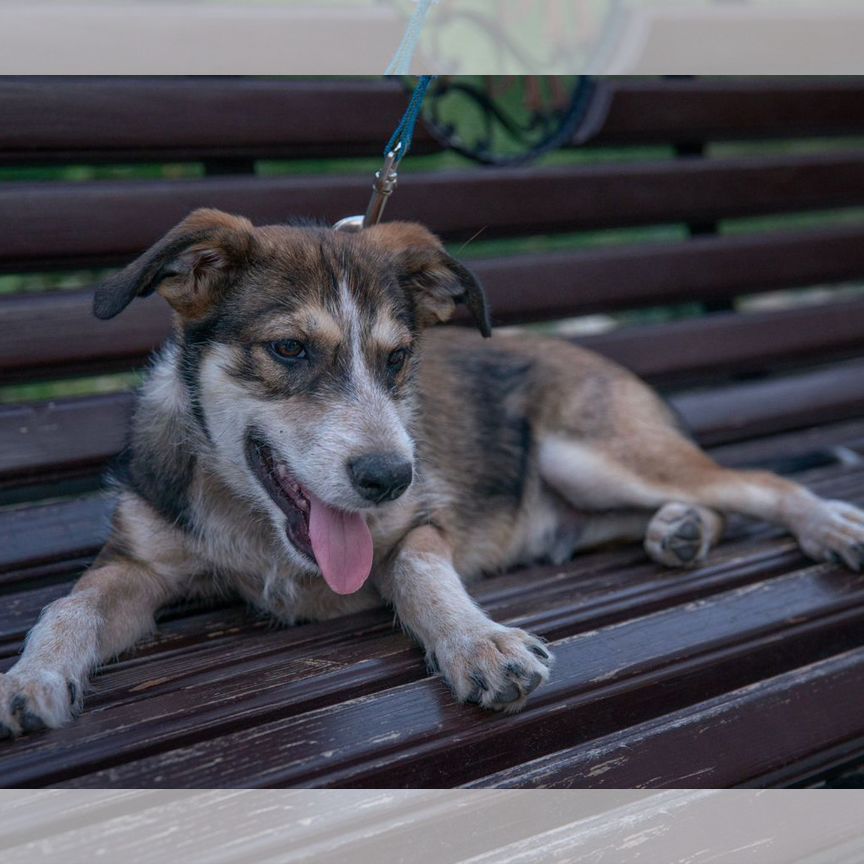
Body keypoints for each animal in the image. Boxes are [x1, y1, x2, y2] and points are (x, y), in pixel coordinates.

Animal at [1, 209, 864, 736]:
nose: (390, 476)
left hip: (594, 453)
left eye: (397, 358)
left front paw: (479, 646)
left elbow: (422, 576)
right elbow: (69, 606)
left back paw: (827, 525)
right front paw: (29, 678)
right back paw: (679, 531)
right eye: (289, 350)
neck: (257, 527)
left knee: (757, 483)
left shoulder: (415, 528)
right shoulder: (136, 561)